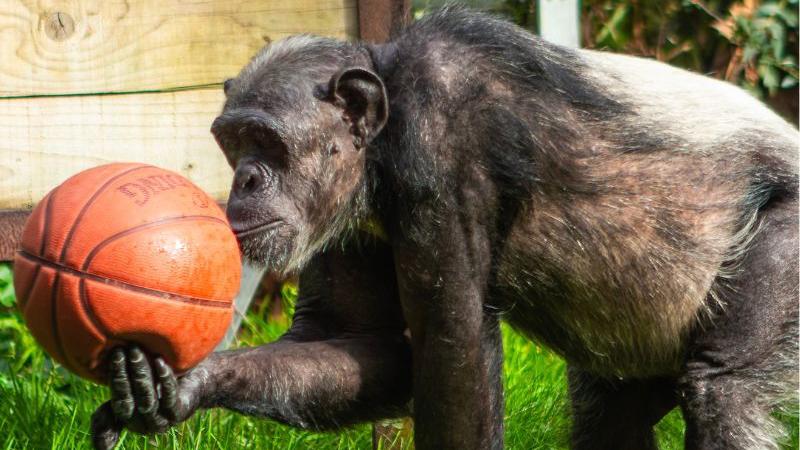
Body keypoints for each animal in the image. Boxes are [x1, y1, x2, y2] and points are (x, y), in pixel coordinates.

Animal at [91, 6, 799, 450]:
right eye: (233, 141)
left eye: (266, 141)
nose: (244, 181)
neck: (384, 132)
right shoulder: (352, 222)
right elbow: (364, 344)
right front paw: (173, 384)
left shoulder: (443, 141)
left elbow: (452, 351)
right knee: (609, 420)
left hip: (786, 241)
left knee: (724, 395)